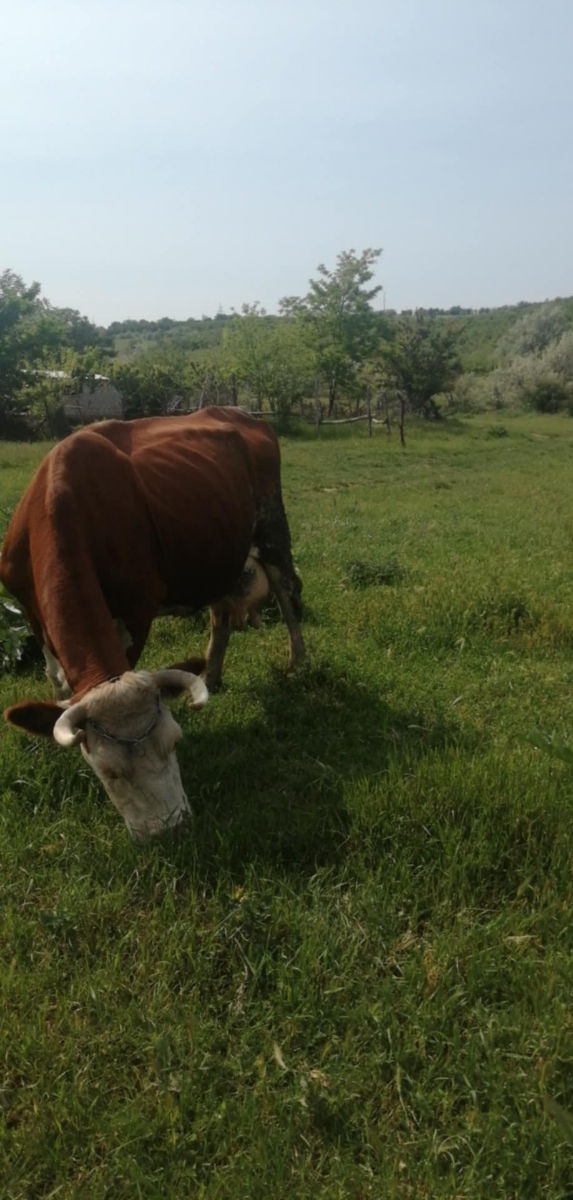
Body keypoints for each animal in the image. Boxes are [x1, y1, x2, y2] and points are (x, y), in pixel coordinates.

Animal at [1, 407, 305, 840]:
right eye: (108, 771)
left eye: (175, 743)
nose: (169, 829)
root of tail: (239, 413)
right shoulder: (30, 612)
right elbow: (57, 684)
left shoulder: (136, 608)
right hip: (217, 558)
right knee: (221, 619)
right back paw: (211, 677)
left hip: (273, 530)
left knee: (289, 596)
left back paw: (299, 664)